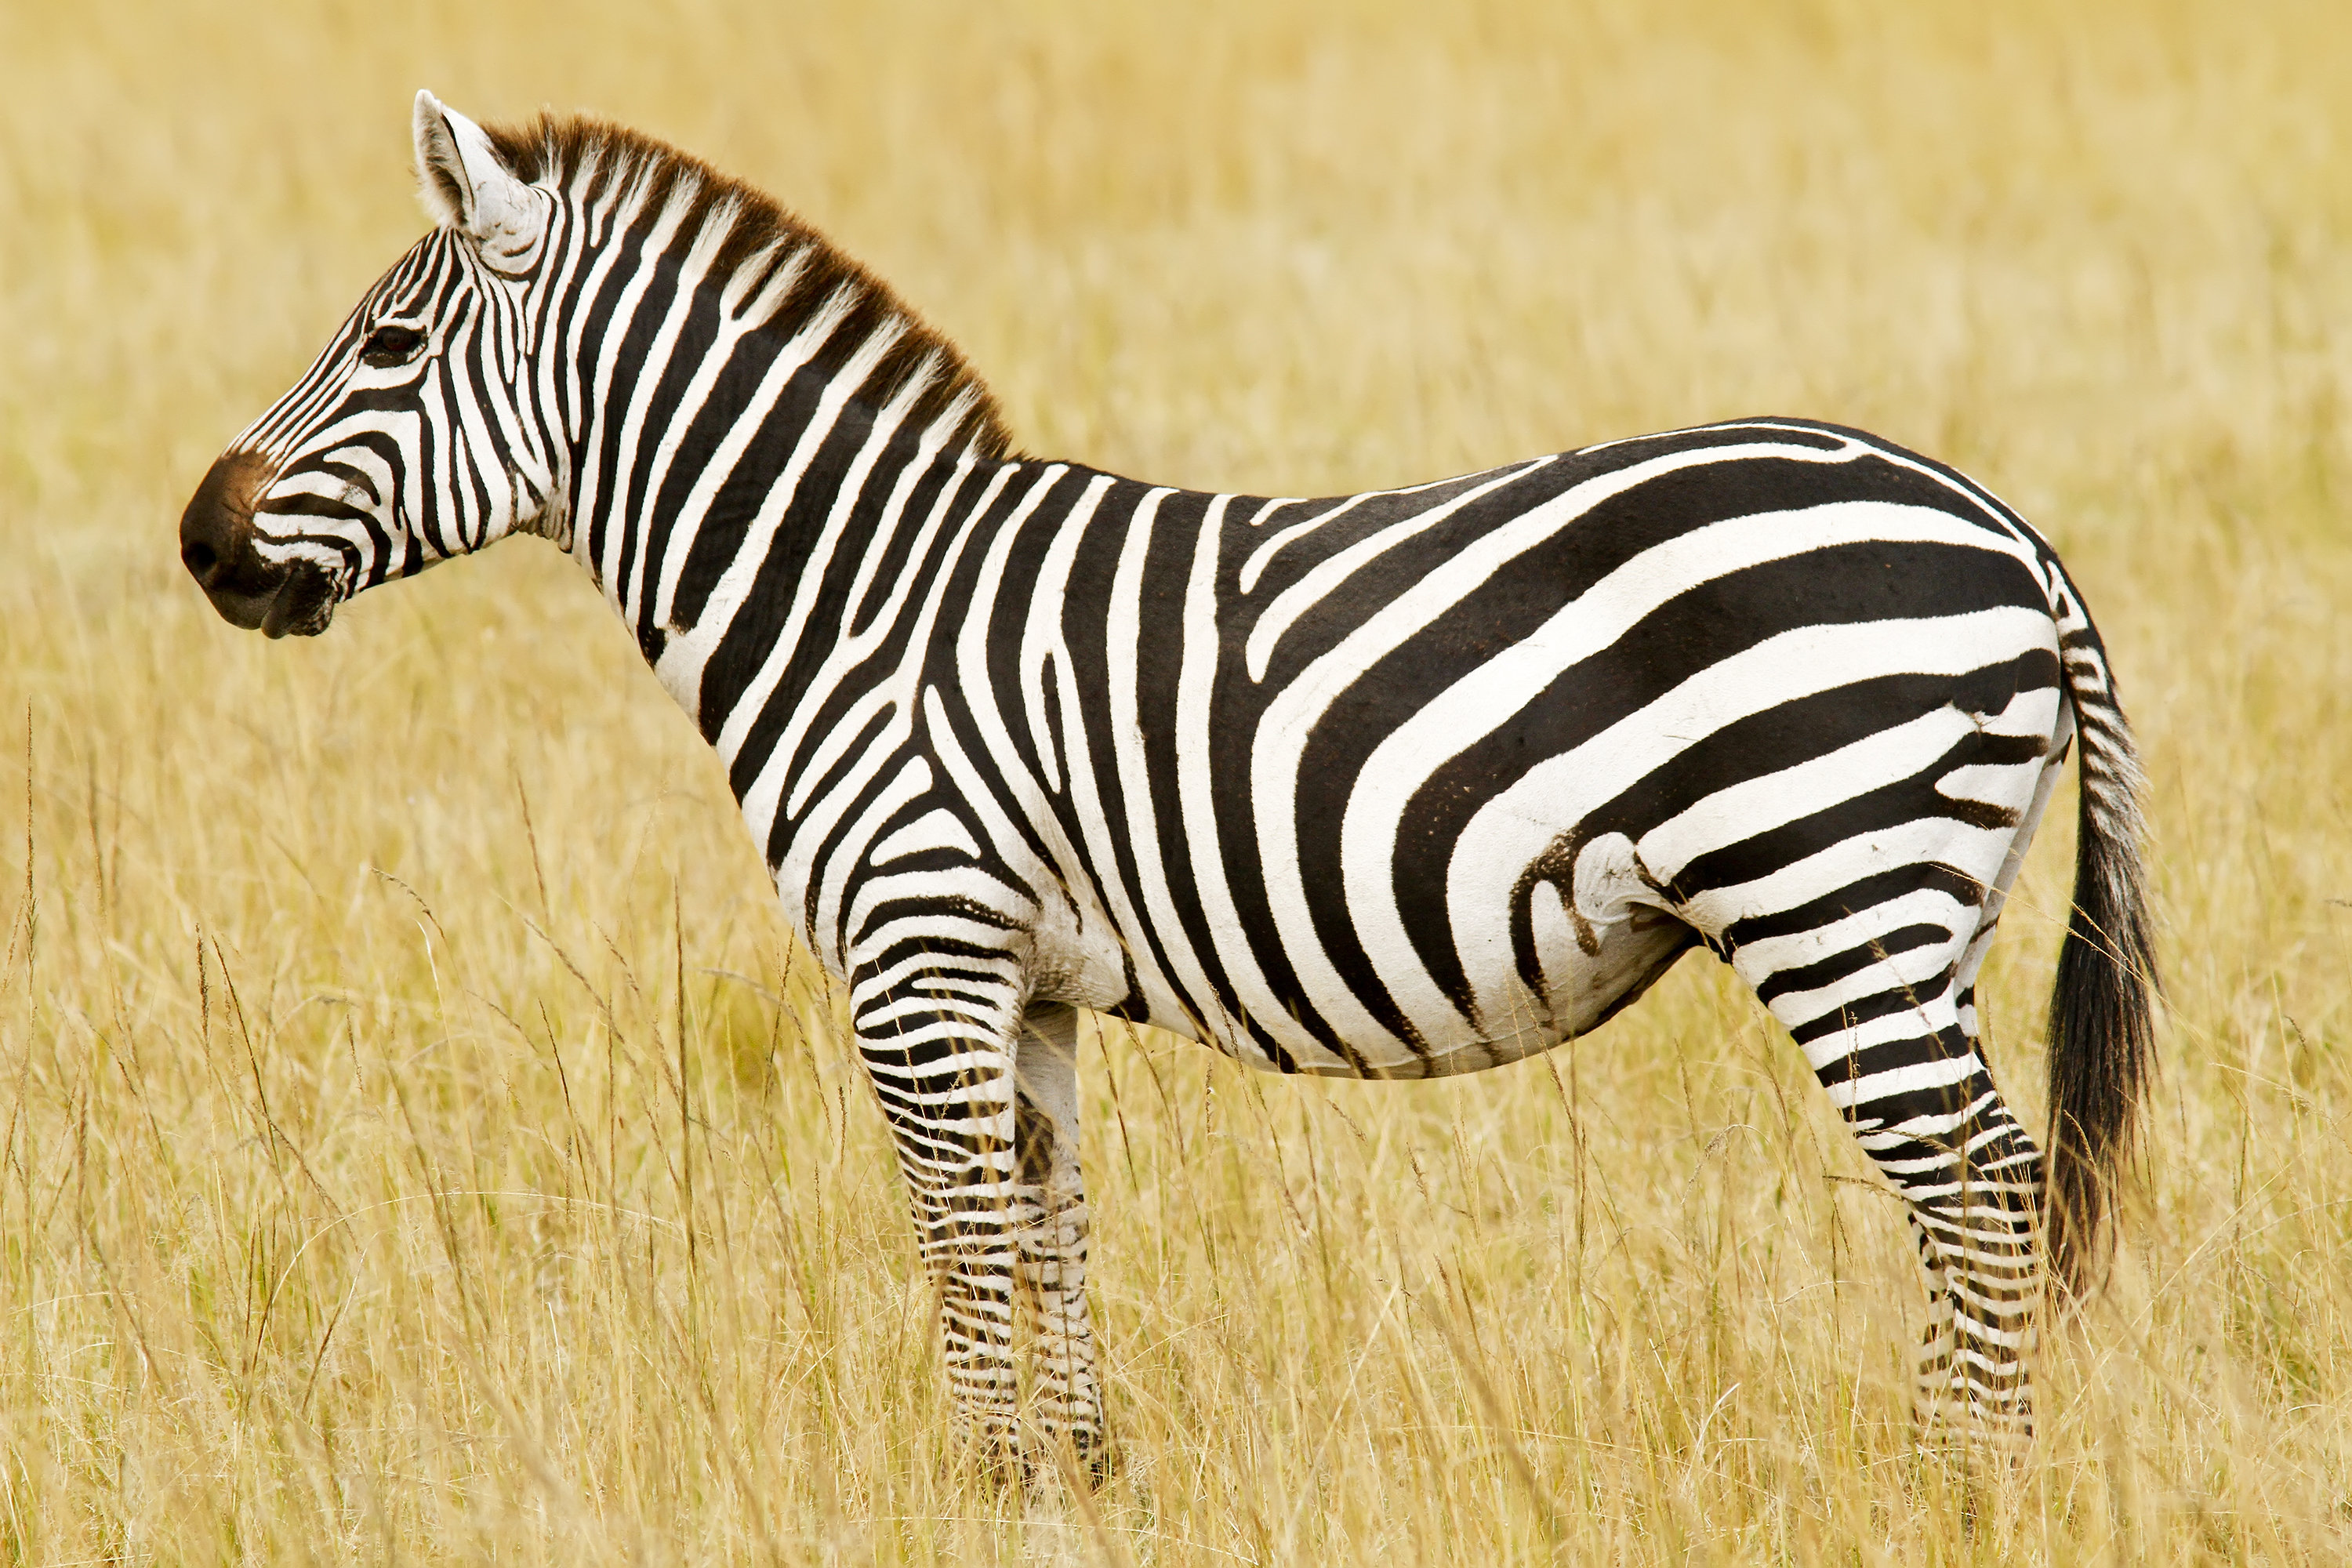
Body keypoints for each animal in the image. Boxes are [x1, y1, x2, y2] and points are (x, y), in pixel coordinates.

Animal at [180, 93, 2157, 1471]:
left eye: (388, 349)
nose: (201, 541)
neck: (851, 594)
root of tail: (2003, 530)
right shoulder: (1028, 979)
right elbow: (1049, 1229)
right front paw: (1074, 1477)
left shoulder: (915, 953)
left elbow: (960, 1235)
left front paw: (980, 1484)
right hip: (1932, 908)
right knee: (1983, 1193)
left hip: (1831, 891)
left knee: (1985, 1187)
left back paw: (1950, 1489)